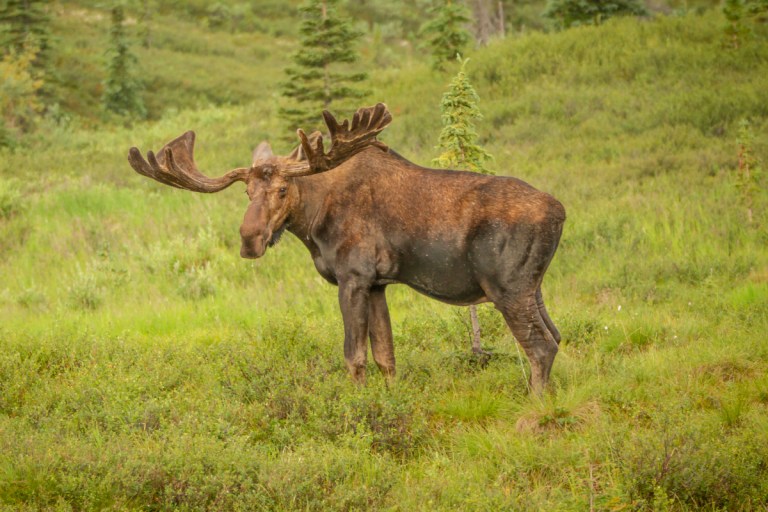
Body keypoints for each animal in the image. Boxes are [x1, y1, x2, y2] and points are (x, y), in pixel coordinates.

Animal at [127, 103, 566, 393]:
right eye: (247, 192)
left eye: (283, 189)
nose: (249, 240)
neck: (313, 221)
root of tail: (561, 213)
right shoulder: (378, 283)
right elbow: (386, 356)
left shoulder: (352, 278)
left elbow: (353, 356)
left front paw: (357, 406)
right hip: (534, 288)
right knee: (557, 337)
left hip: (507, 289)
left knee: (540, 347)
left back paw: (535, 406)